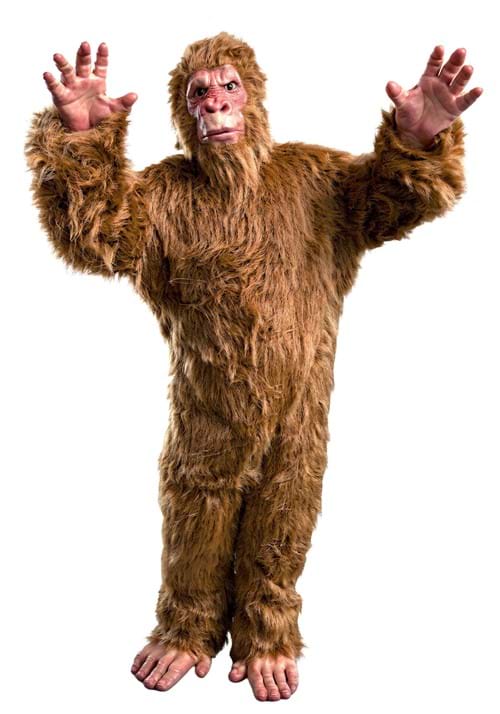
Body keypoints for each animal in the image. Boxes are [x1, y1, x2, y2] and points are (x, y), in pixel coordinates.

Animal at [25, 32, 482, 702]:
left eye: (229, 85)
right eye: (198, 92)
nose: (214, 107)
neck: (236, 184)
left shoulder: (336, 191)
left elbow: (393, 193)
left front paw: (425, 116)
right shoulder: (149, 212)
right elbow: (104, 225)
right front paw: (82, 117)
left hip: (297, 438)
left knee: (285, 502)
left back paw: (267, 649)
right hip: (203, 427)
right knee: (199, 497)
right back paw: (181, 642)